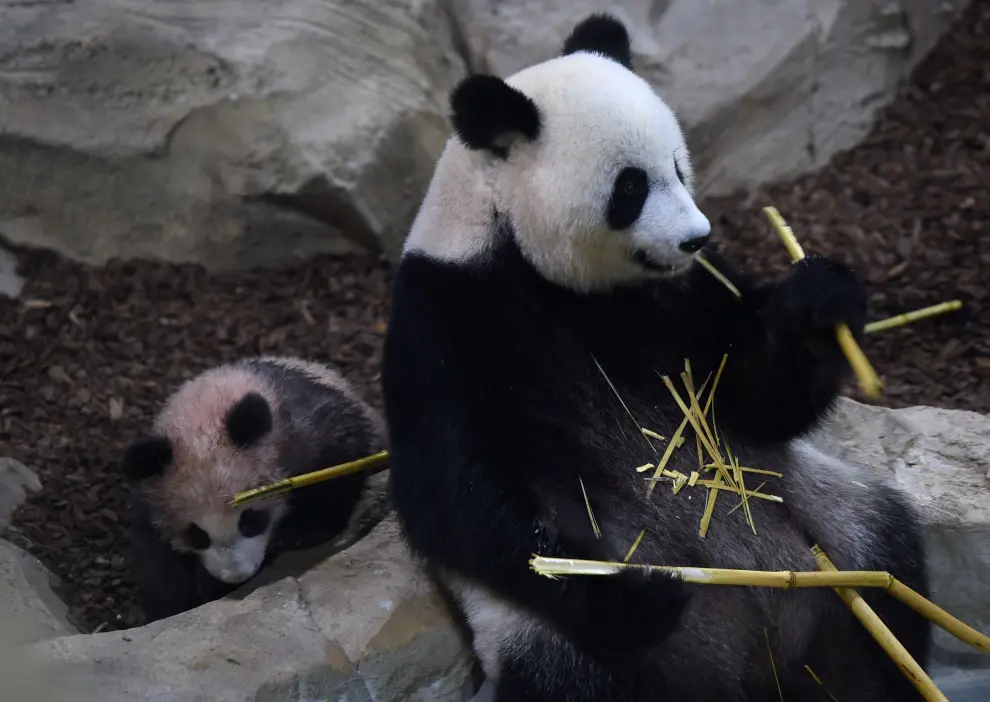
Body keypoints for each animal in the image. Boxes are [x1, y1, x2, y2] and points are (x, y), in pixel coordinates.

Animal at [122, 355, 387, 623]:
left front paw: (298, 533)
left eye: (251, 520)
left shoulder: (308, 425)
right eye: (196, 535)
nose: (237, 576)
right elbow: (159, 564)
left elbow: (337, 466)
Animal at [380, 13, 931, 702]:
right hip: (547, 642)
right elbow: (451, 493)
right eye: (631, 186)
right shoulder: (449, 318)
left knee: (885, 572)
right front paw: (632, 597)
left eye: (678, 165)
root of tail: (750, 659)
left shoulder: (679, 296)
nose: (697, 237)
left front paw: (819, 304)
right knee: (564, 677)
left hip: (824, 529)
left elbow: (749, 395)